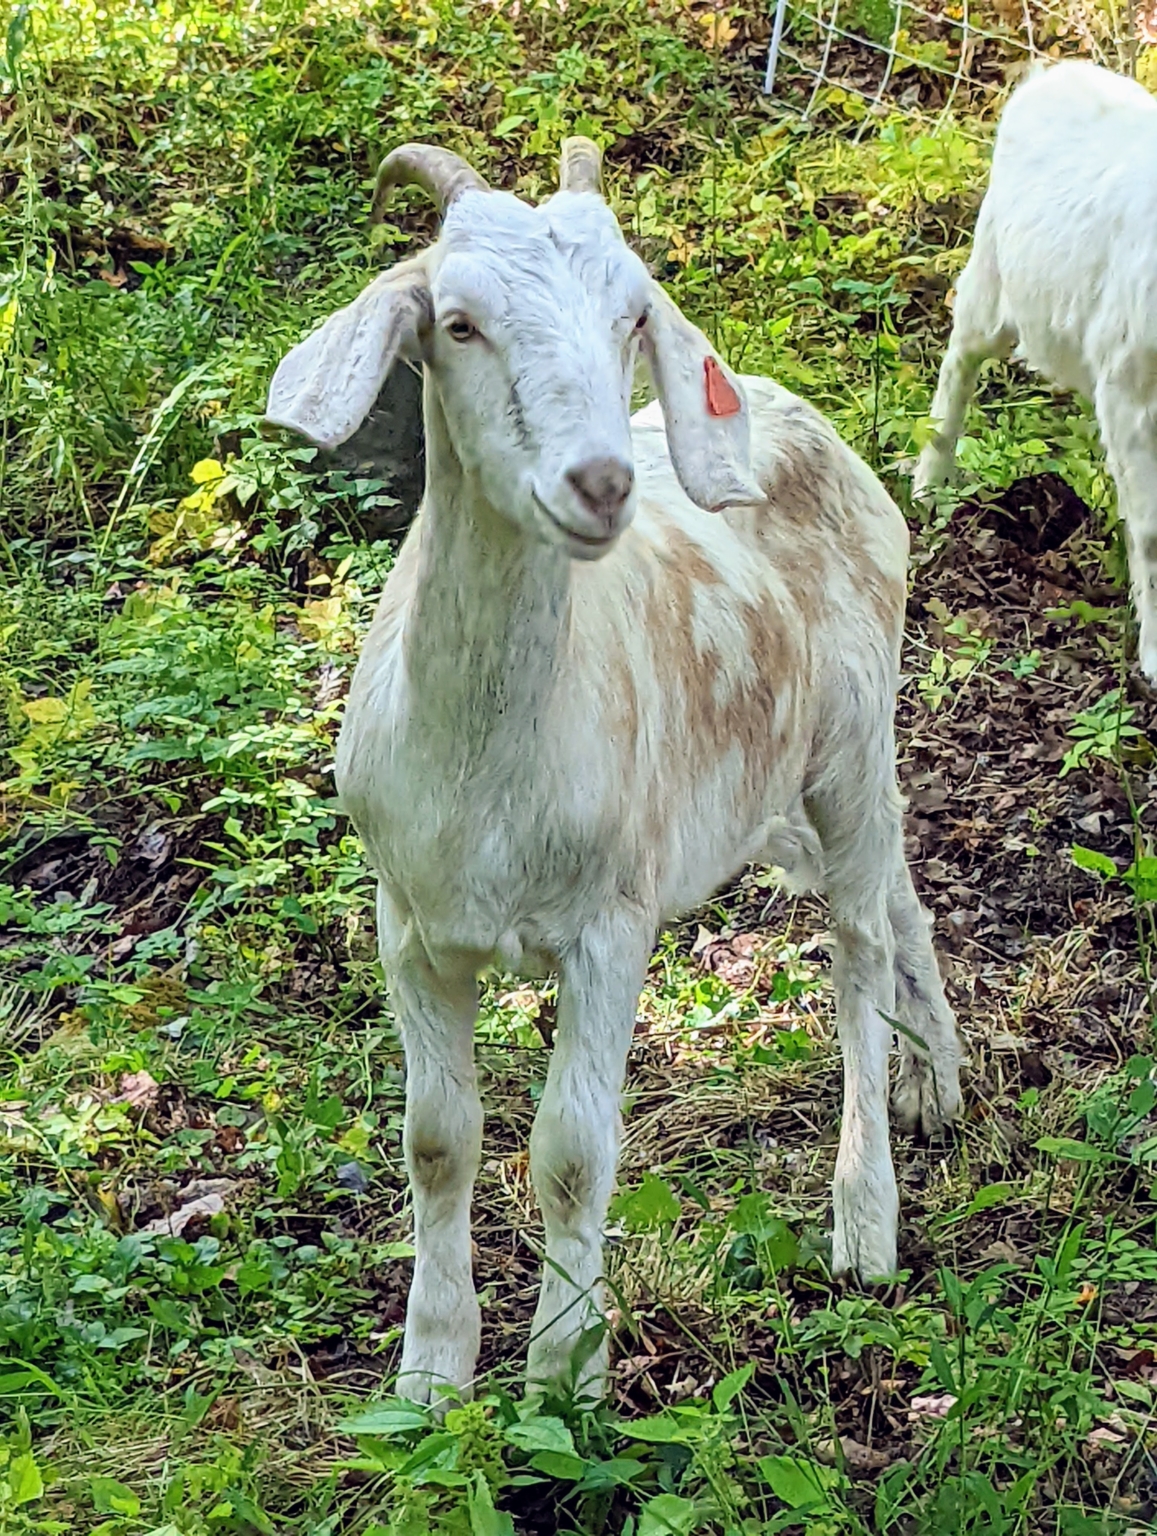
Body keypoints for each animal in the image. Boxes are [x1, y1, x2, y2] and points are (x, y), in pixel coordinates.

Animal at [266, 139, 962, 1407]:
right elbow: (435, 1142)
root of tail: (796, 412)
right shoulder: (408, 924)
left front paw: (562, 1372)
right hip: (773, 797)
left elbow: (571, 1153)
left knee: (855, 947)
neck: (486, 775)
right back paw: (937, 1079)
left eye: (633, 314)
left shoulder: (608, 924)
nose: (600, 483)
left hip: (851, 740)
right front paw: (430, 1371)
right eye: (457, 322)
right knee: (899, 893)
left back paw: (864, 1218)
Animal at [912, 59, 1157, 679]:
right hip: (992, 283)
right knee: (958, 360)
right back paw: (929, 490)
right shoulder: (1129, 389)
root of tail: (1060, 72)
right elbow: (1151, 532)